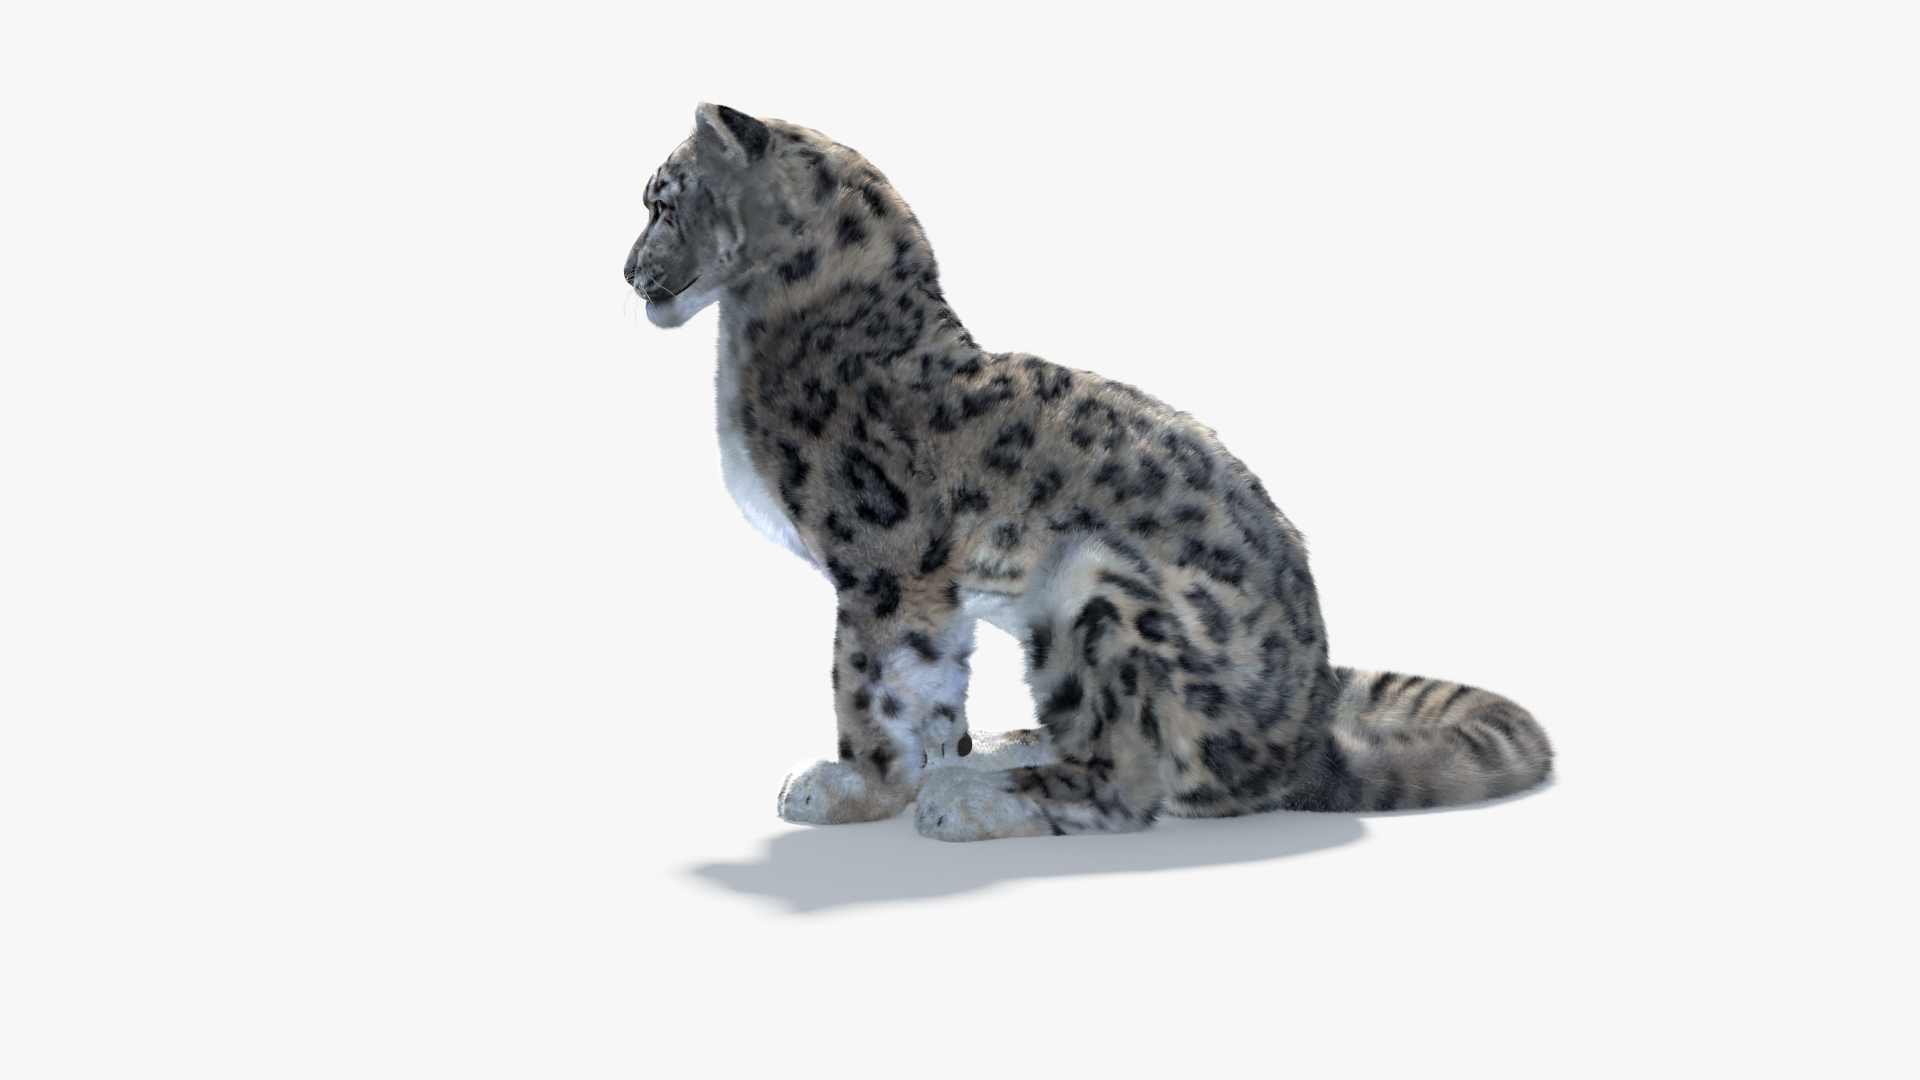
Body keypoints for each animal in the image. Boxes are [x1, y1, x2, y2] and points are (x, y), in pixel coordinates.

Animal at [624, 103, 1553, 841]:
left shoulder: (883, 568)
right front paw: (928, 762)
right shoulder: (926, 593)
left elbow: (875, 684)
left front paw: (861, 784)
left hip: (1093, 587)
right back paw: (996, 753)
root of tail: (1313, 731)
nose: (628, 272)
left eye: (663, 201)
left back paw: (983, 796)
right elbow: (934, 689)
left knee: (1132, 779)